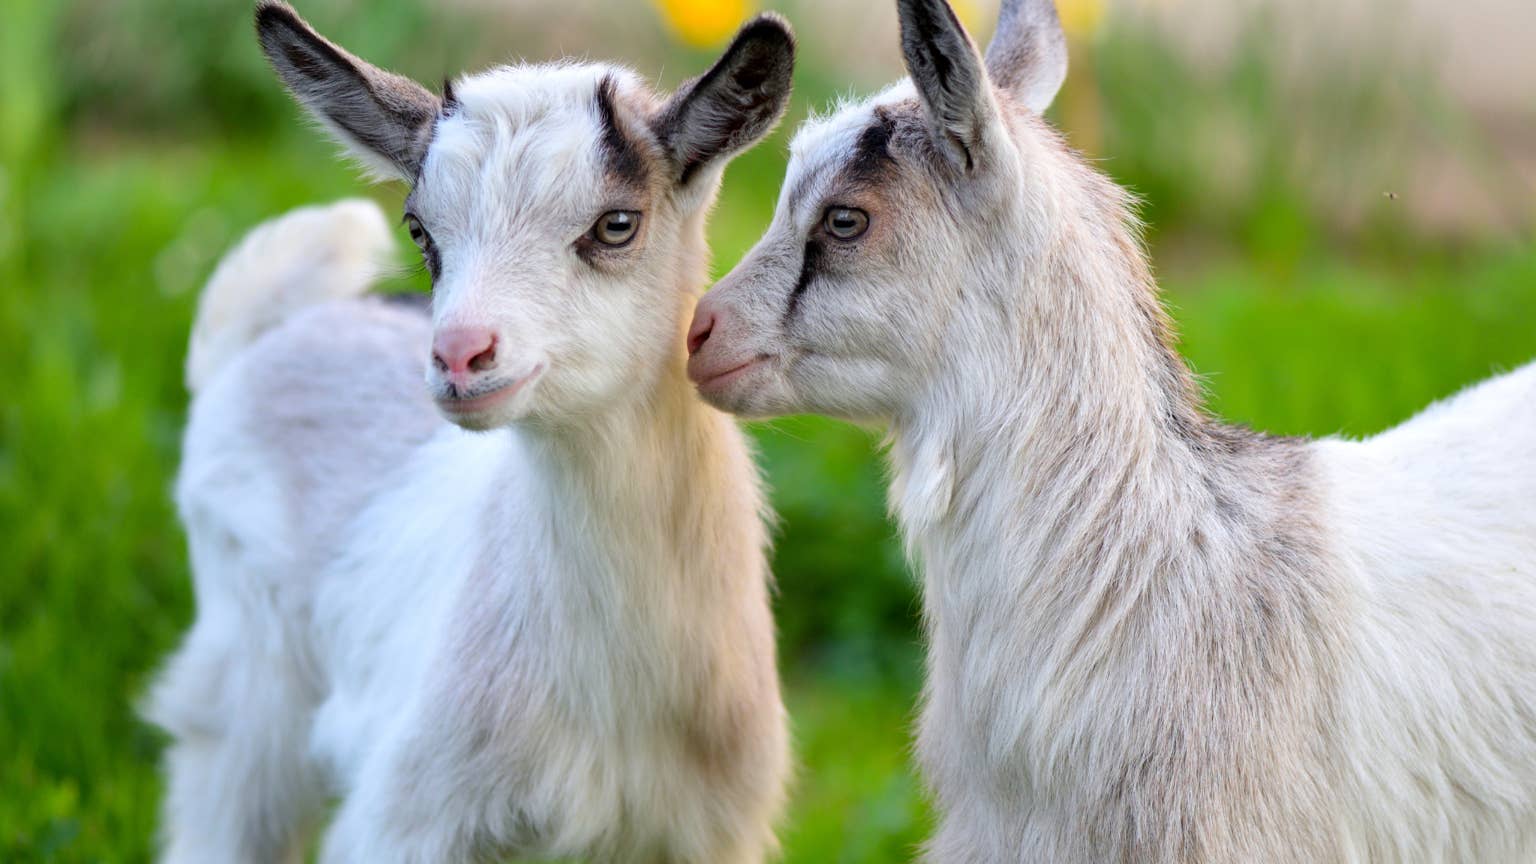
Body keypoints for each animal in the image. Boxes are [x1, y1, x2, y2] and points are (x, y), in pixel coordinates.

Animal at [146, 3, 795, 862]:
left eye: (617, 224)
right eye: (420, 231)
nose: (459, 353)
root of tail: (264, 329)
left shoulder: (704, 832)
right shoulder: (406, 818)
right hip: (244, 688)